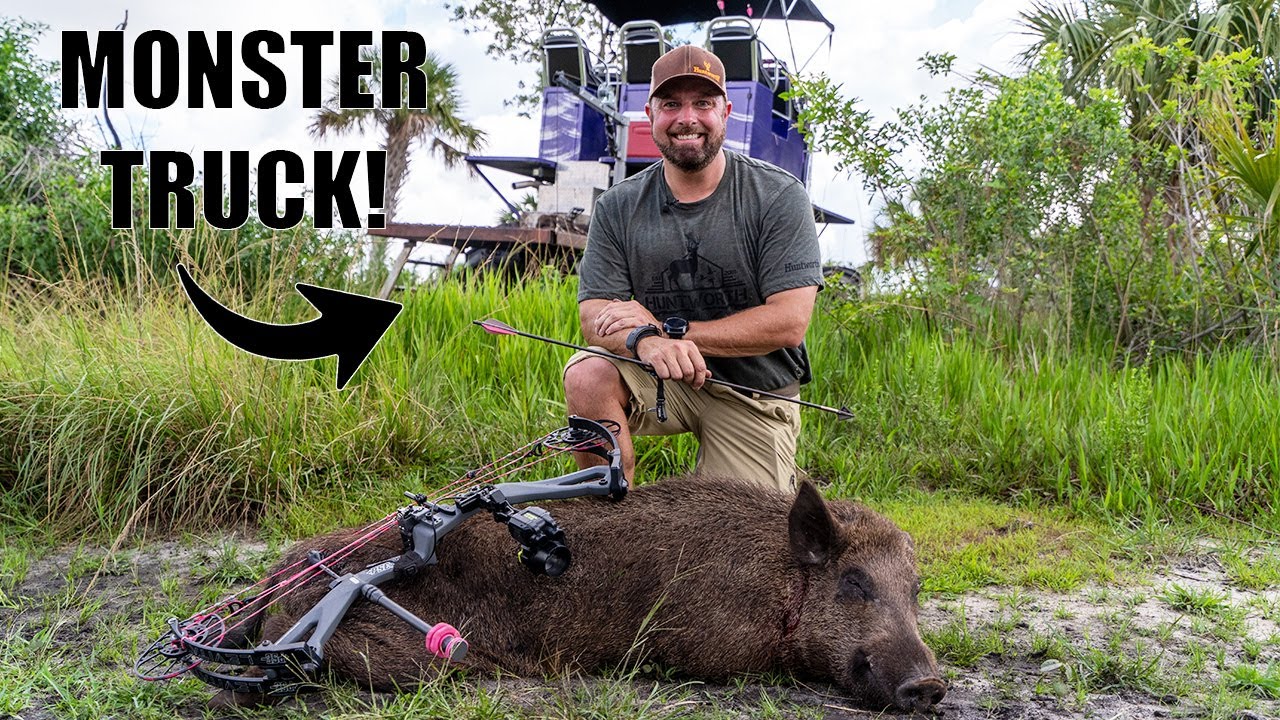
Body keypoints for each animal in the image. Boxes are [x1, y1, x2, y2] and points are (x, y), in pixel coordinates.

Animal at [225, 476, 945, 712]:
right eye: (854, 582)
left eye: (915, 591)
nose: (932, 685)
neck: (778, 587)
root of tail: (272, 584)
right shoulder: (709, 645)